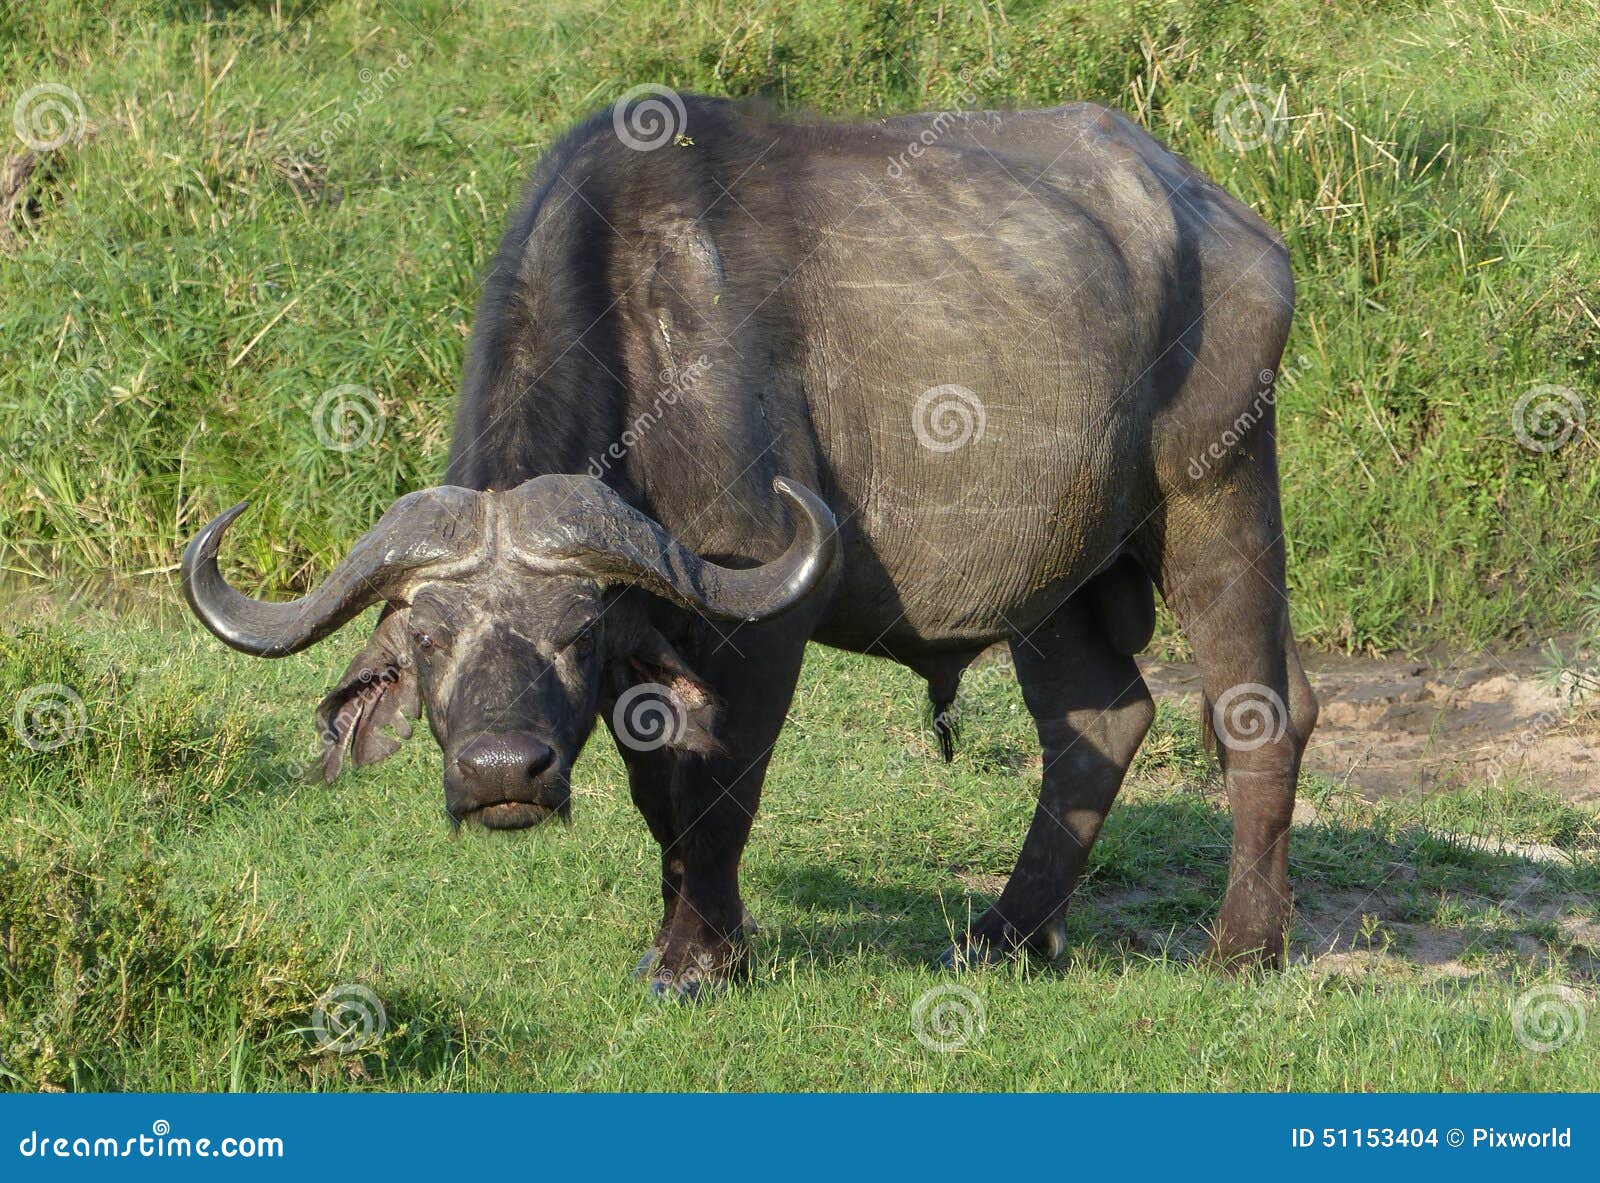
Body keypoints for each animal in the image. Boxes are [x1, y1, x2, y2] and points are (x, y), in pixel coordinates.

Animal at [184, 94, 1317, 996]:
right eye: (426, 639)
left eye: (575, 632)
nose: (502, 769)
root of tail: (1230, 226)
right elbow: (661, 797)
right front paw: (683, 939)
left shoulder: (763, 620)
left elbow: (723, 790)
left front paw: (700, 958)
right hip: (1055, 571)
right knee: (1098, 721)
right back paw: (1005, 933)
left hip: (1218, 487)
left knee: (1261, 707)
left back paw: (1241, 948)